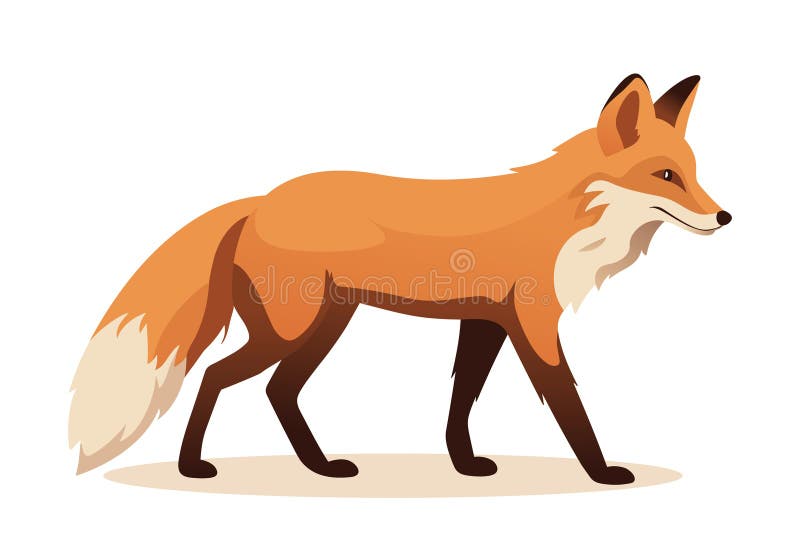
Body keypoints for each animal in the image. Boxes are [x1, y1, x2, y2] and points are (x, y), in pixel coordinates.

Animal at [69, 74, 730, 485]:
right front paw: (602, 473)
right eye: (665, 175)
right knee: (215, 376)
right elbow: (570, 404)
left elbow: (462, 398)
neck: (567, 220)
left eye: (694, 172)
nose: (724, 217)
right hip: (294, 329)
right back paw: (192, 467)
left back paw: (321, 468)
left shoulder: (484, 321)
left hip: (326, 324)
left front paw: (465, 465)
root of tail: (261, 200)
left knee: (277, 391)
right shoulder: (534, 324)